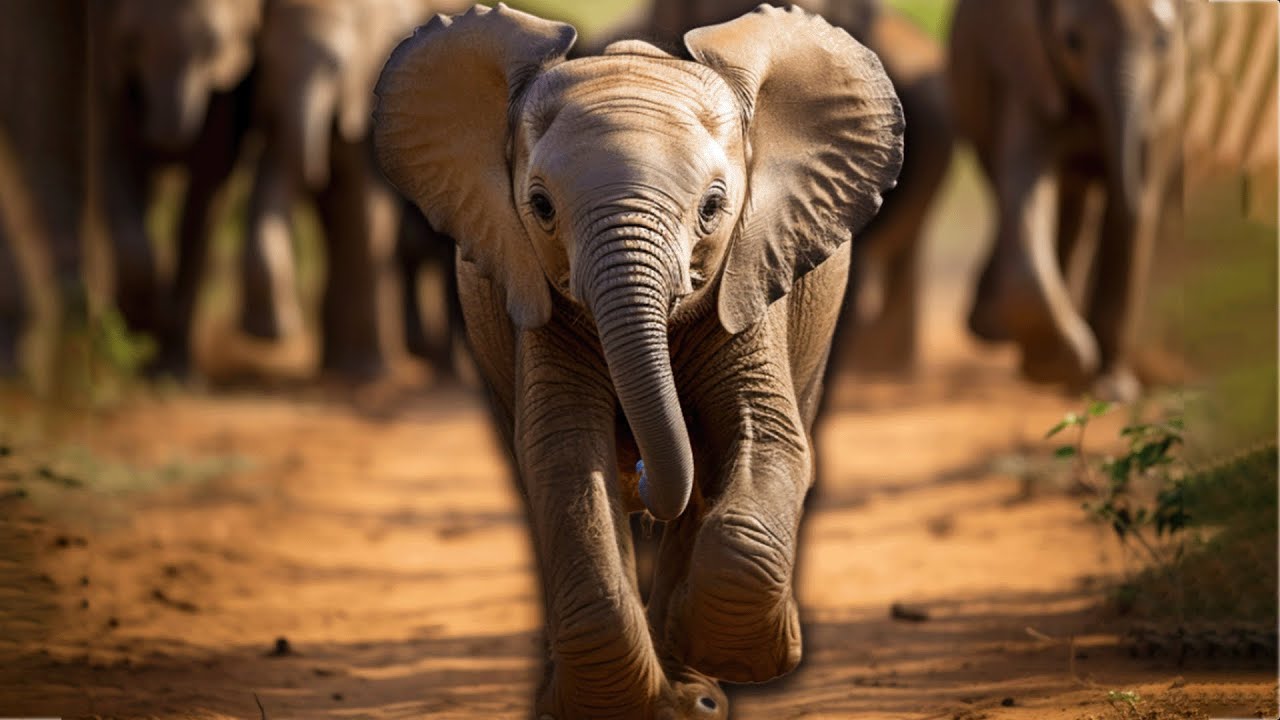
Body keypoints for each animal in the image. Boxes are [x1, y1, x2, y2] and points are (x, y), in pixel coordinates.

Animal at [96, 0, 262, 375]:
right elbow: (113, 157)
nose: (165, 141)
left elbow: (203, 199)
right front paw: (146, 322)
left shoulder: (227, 91)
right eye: (132, 41)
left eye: (212, 47)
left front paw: (174, 370)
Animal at [373, 5, 903, 718]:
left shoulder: (751, 272)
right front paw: (600, 705)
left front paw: (748, 658)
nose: (647, 479)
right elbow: (565, 458)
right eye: (540, 206)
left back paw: (696, 692)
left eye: (713, 207)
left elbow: (764, 435)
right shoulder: (537, 301)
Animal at [949, 0, 1176, 400]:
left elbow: (1133, 211)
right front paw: (1061, 367)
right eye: (1071, 41)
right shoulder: (1029, 66)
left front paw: (1111, 392)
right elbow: (1025, 182)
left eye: (1164, 41)